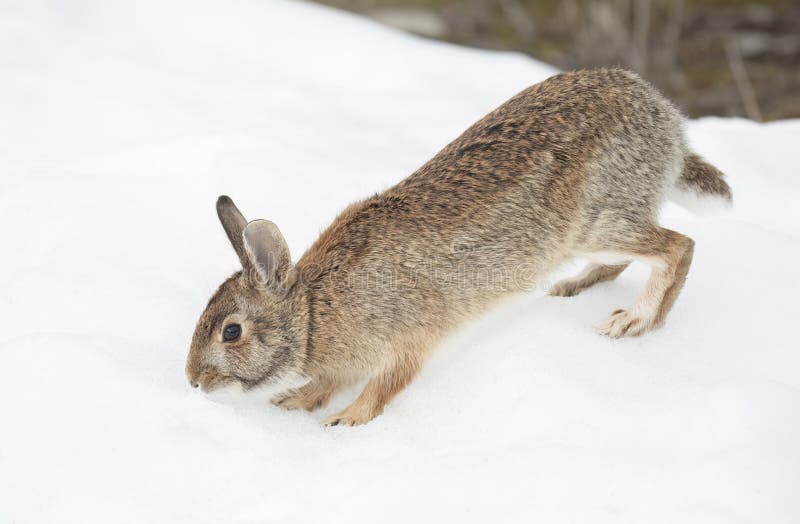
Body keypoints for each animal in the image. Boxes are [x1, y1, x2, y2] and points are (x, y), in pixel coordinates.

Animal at [186, 68, 731, 426]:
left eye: (232, 332)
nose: (192, 381)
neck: (313, 315)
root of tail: (670, 126)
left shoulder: (409, 338)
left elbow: (386, 386)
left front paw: (345, 421)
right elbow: (327, 382)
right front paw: (295, 402)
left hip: (598, 221)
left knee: (678, 246)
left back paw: (635, 321)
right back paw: (569, 288)